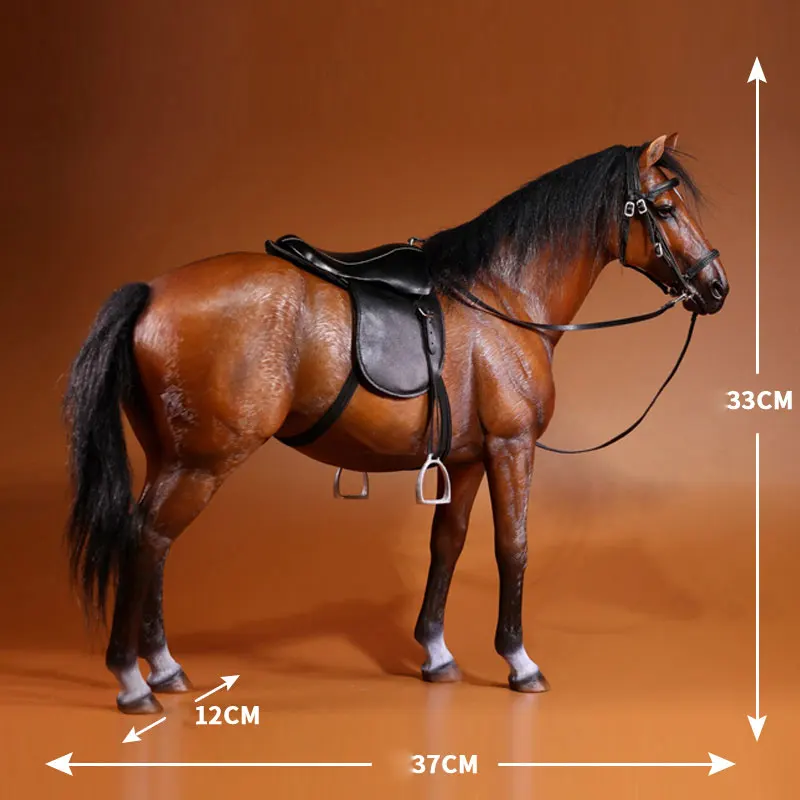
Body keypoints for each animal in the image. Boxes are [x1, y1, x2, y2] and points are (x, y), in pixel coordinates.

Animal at [63, 133, 728, 714]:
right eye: (665, 207)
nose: (717, 287)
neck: (504, 298)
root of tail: (151, 291)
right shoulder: (512, 447)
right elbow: (512, 547)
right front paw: (519, 661)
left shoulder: (466, 458)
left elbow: (447, 544)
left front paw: (435, 652)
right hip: (201, 462)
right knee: (146, 537)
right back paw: (133, 680)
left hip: (171, 457)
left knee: (154, 543)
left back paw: (164, 668)